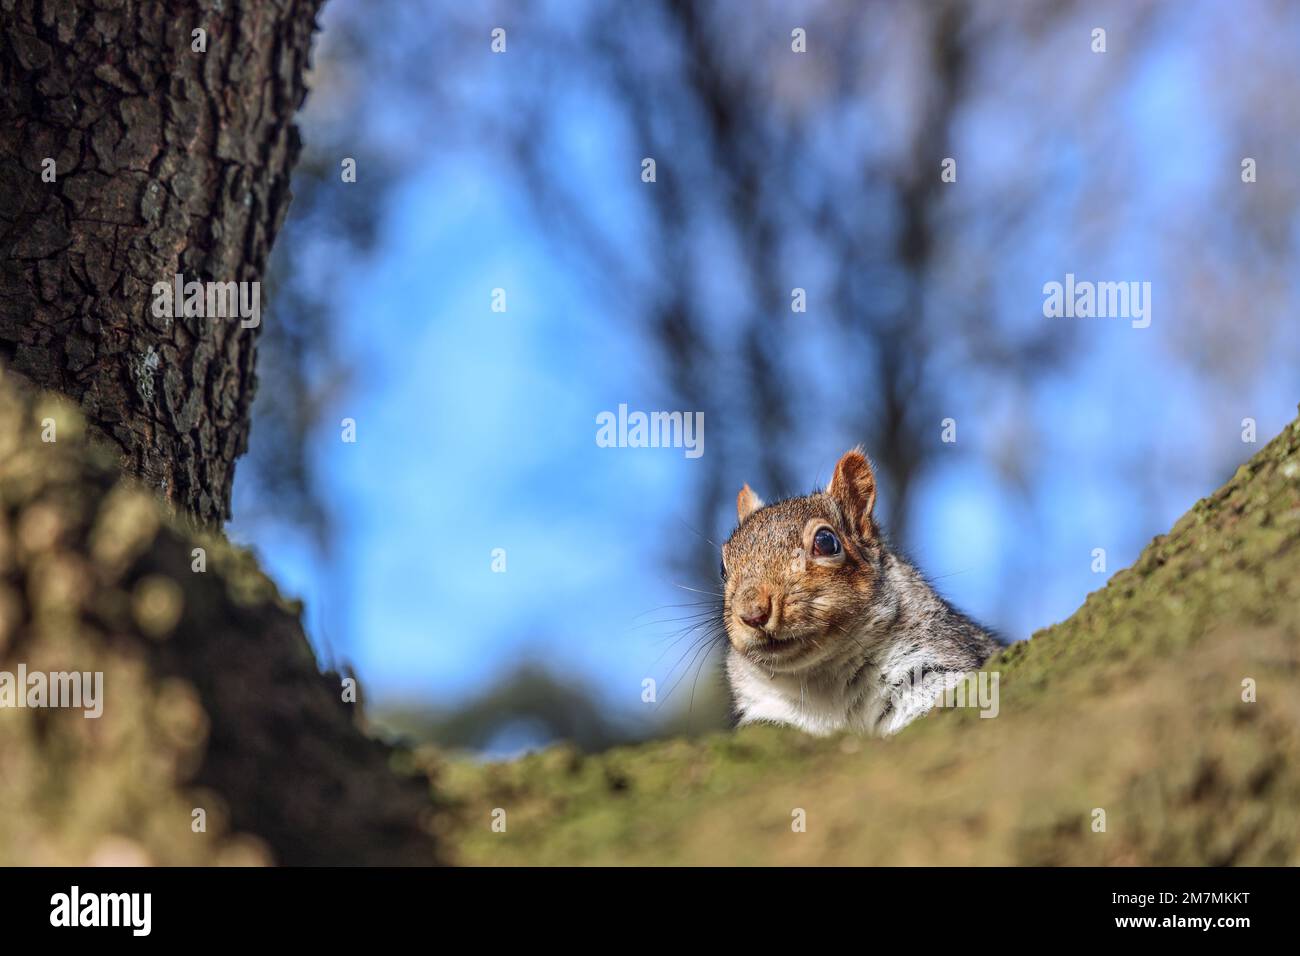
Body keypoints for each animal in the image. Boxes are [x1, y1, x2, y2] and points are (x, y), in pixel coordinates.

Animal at [721, 448, 1000, 737]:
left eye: (826, 542)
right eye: (723, 568)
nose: (752, 613)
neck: (820, 677)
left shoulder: (929, 667)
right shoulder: (766, 708)